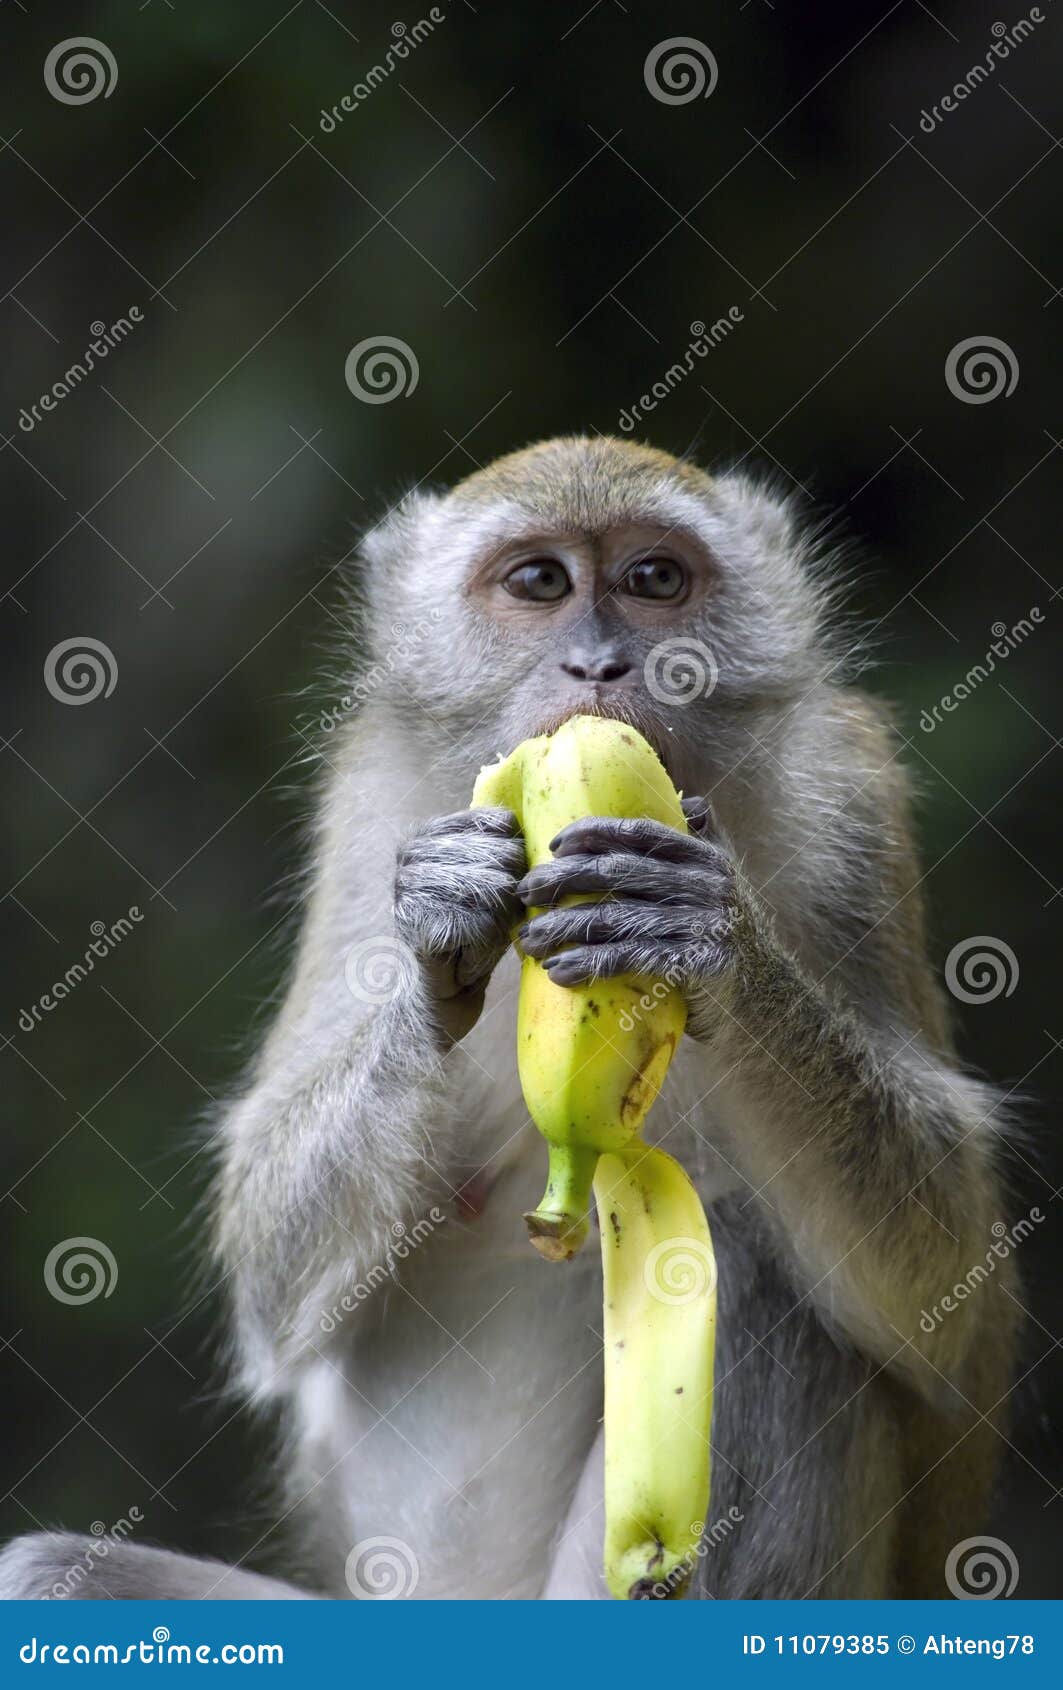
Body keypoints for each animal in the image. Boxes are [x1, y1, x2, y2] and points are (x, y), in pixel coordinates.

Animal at [0, 435, 1019, 1601]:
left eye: (654, 579)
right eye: (539, 582)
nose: (599, 666)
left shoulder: (849, 800)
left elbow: (948, 1296)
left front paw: (706, 932)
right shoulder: (366, 805)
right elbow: (270, 1277)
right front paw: (441, 931)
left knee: (766, 1287)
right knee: (48, 1573)